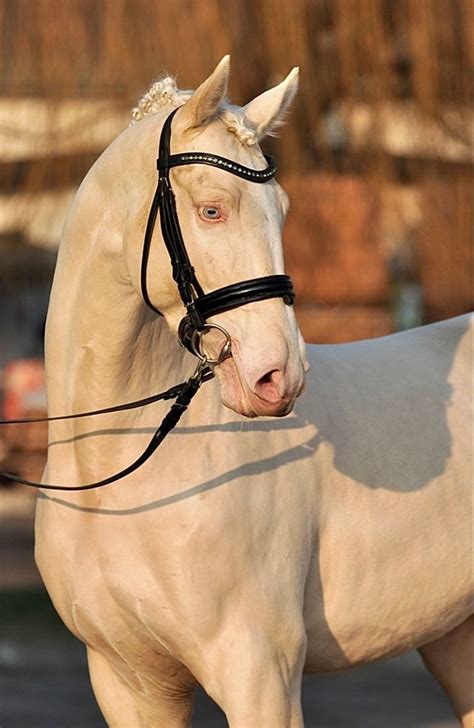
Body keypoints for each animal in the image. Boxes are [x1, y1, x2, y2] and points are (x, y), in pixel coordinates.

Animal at [35, 56, 472, 727]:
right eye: (212, 210)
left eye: (284, 209)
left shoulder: (258, 672)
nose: (278, 377)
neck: (123, 473)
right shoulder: (129, 681)